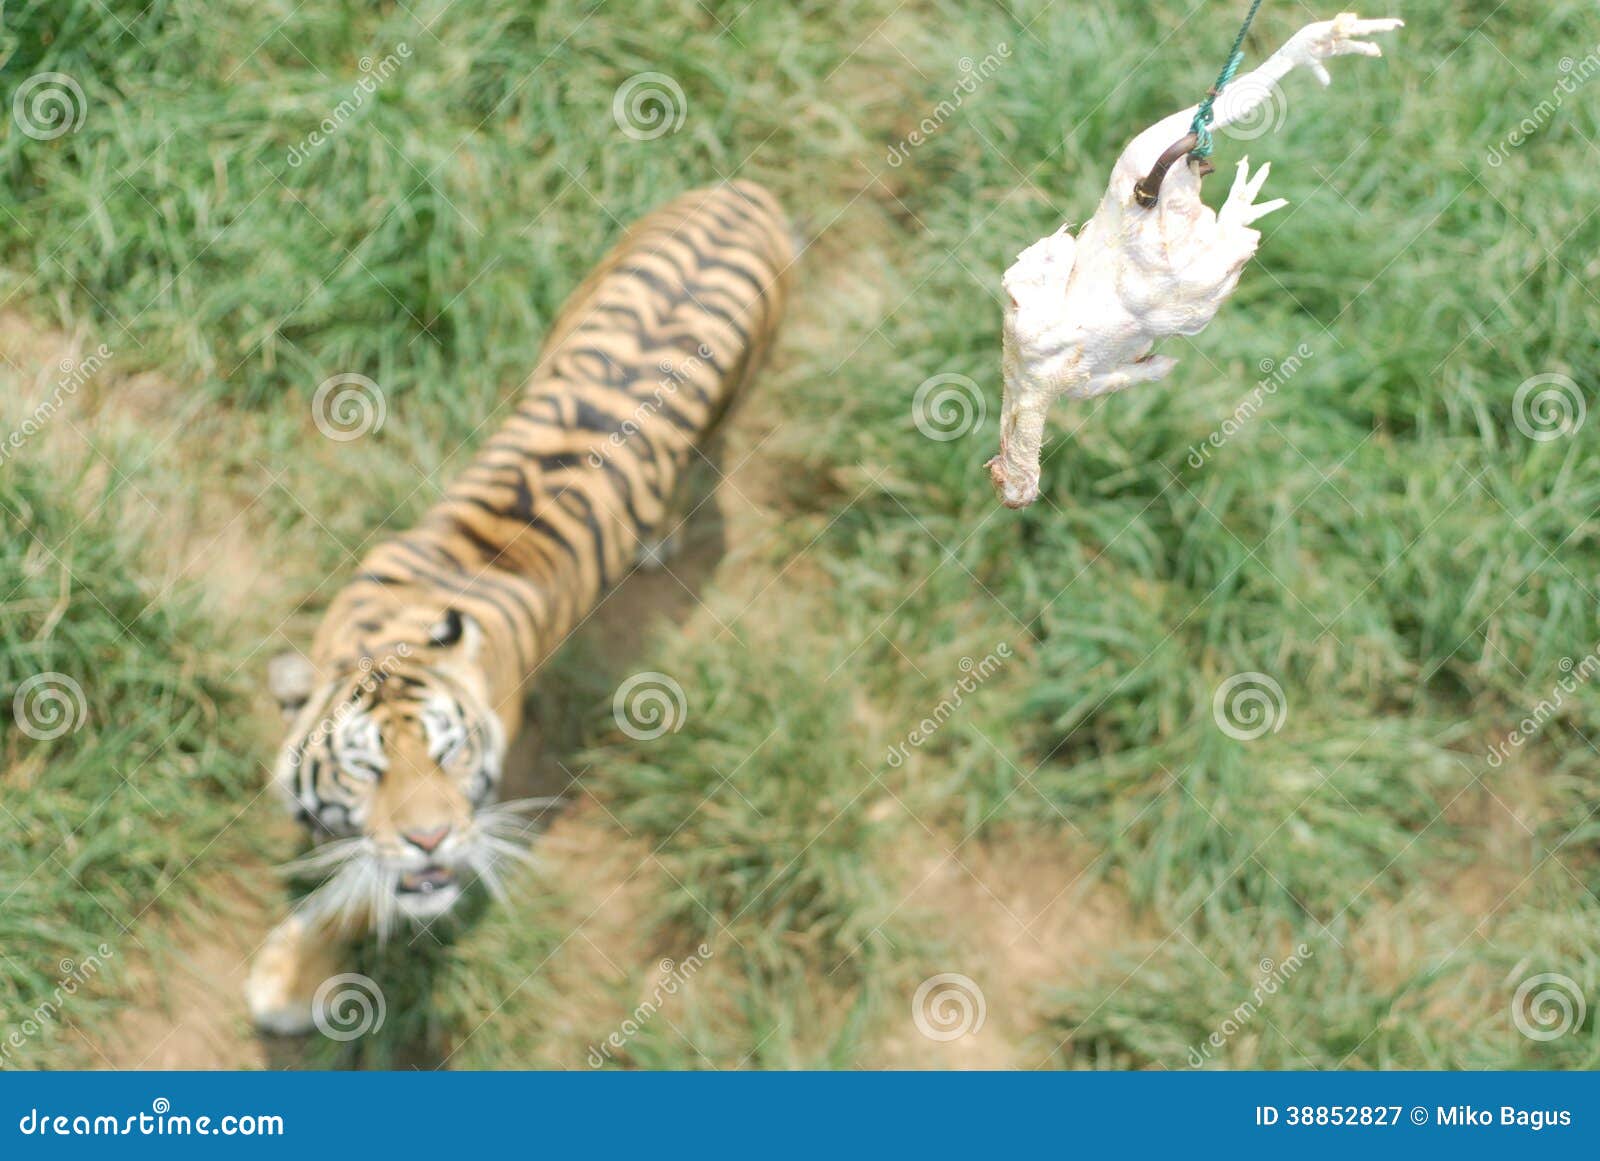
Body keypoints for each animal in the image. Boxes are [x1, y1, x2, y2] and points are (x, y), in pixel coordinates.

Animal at [245, 181, 793, 1034]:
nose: (431, 837)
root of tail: (745, 189)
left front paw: (290, 978)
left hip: (741, 386)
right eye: (366, 768)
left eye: (448, 755)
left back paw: (659, 534)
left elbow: (370, 891)